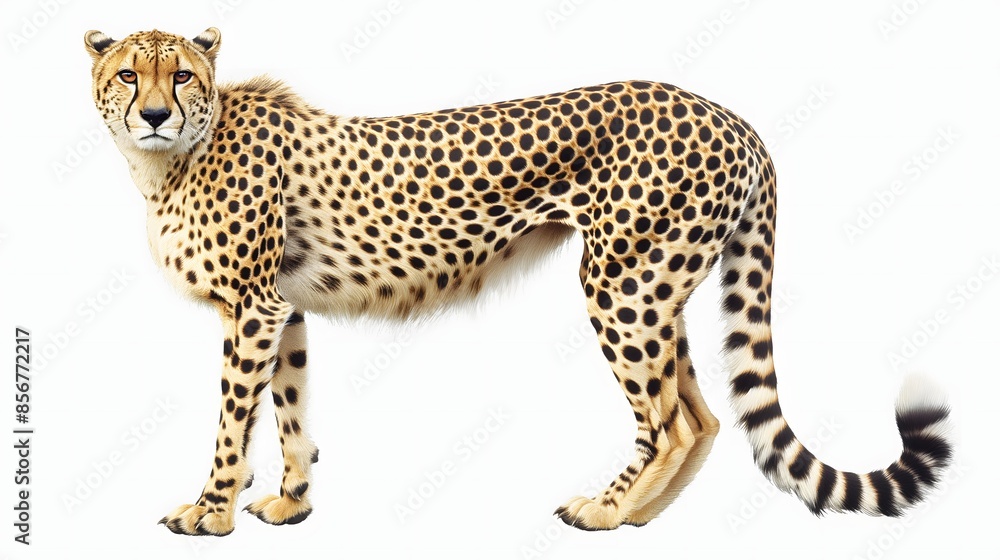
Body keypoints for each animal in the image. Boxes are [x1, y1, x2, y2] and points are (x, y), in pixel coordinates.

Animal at [84, 27, 953, 536]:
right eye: (128, 75)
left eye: (181, 76)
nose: (154, 114)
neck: (172, 160)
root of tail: (724, 112)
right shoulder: (283, 308)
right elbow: (290, 408)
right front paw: (291, 501)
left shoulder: (252, 309)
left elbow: (232, 420)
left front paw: (209, 511)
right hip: (655, 286)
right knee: (702, 415)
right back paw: (644, 516)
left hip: (621, 284)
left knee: (668, 419)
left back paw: (605, 508)